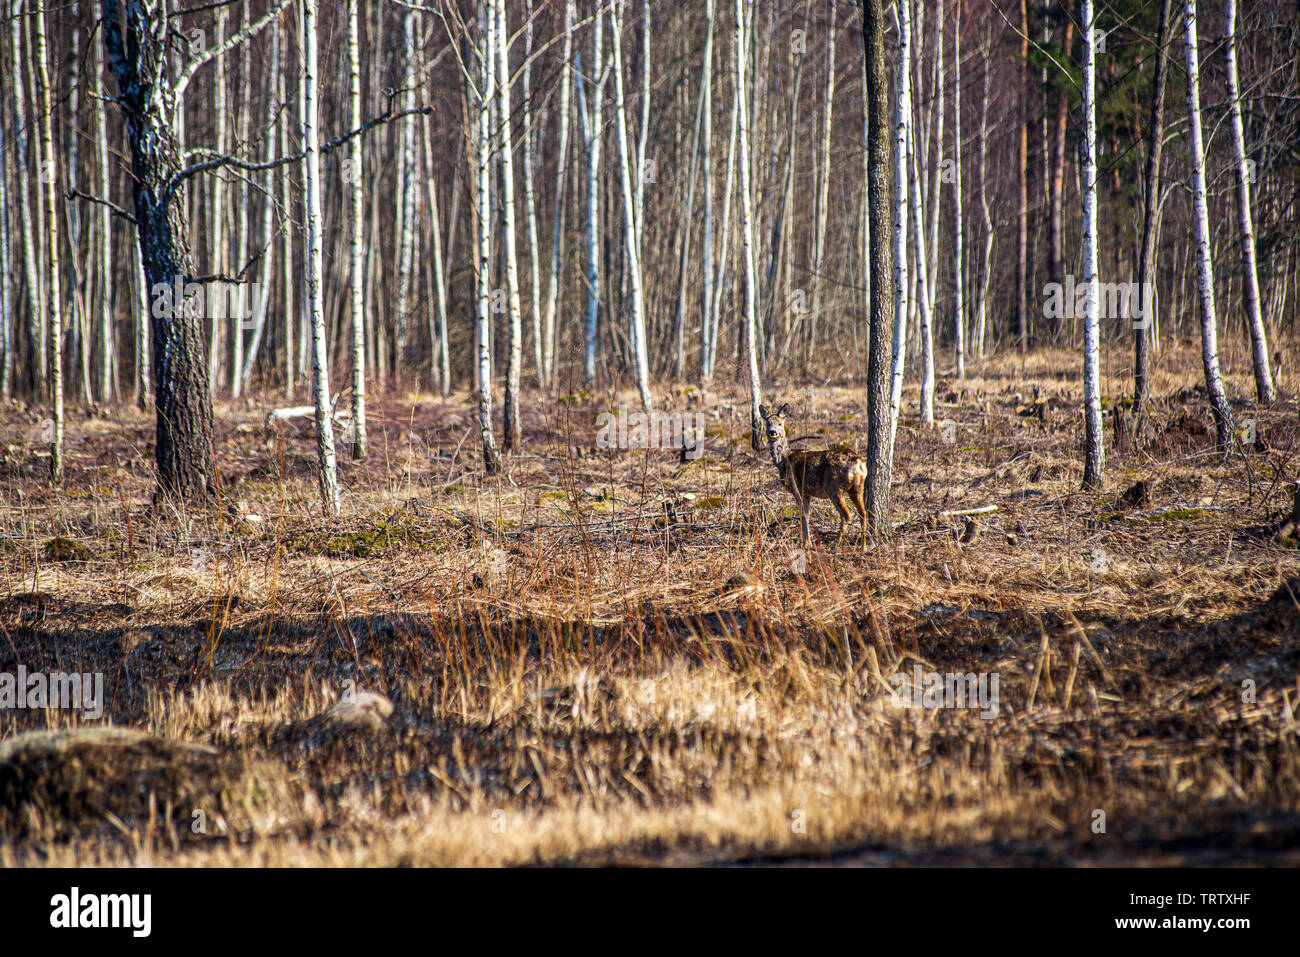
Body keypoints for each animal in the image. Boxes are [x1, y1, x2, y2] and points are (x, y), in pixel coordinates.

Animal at [759, 403, 869, 553]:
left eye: (780, 423)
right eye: (768, 423)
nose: (772, 432)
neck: (783, 461)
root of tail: (859, 463)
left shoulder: (797, 488)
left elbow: (802, 514)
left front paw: (806, 544)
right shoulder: (807, 492)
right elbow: (807, 514)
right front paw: (807, 542)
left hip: (834, 487)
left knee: (847, 514)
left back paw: (834, 546)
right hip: (857, 487)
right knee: (863, 512)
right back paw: (863, 547)